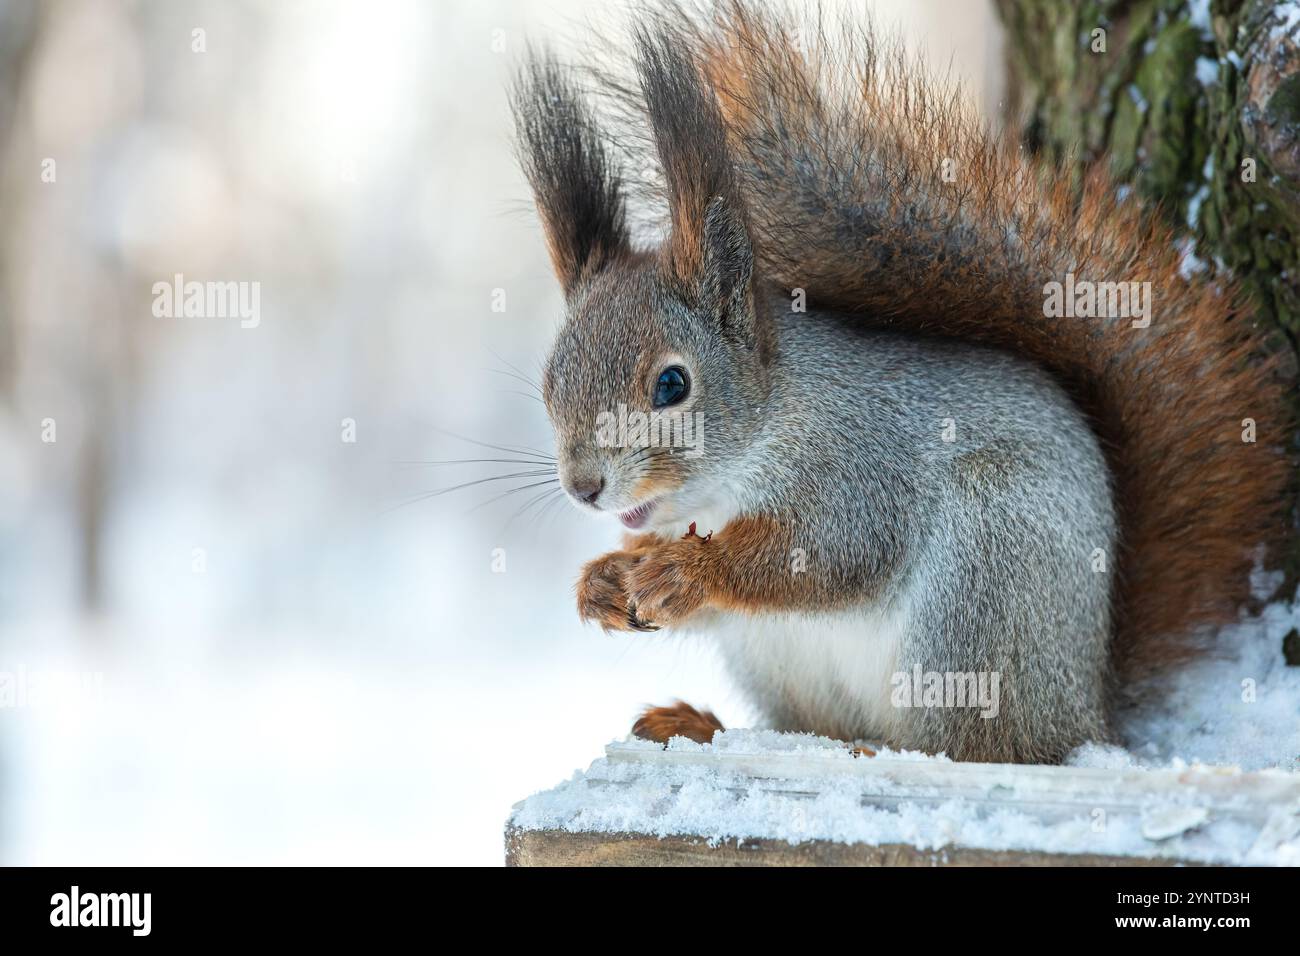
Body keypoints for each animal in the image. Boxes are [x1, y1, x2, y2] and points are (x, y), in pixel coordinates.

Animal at [509, 1, 1294, 763]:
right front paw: (604, 582)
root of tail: (1088, 711)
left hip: (980, 593)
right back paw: (709, 728)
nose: (584, 487)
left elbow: (830, 559)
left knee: (988, 749)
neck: (752, 445)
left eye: (673, 386)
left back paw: (881, 753)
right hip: (787, 660)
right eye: (550, 382)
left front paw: (686, 572)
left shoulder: (859, 469)